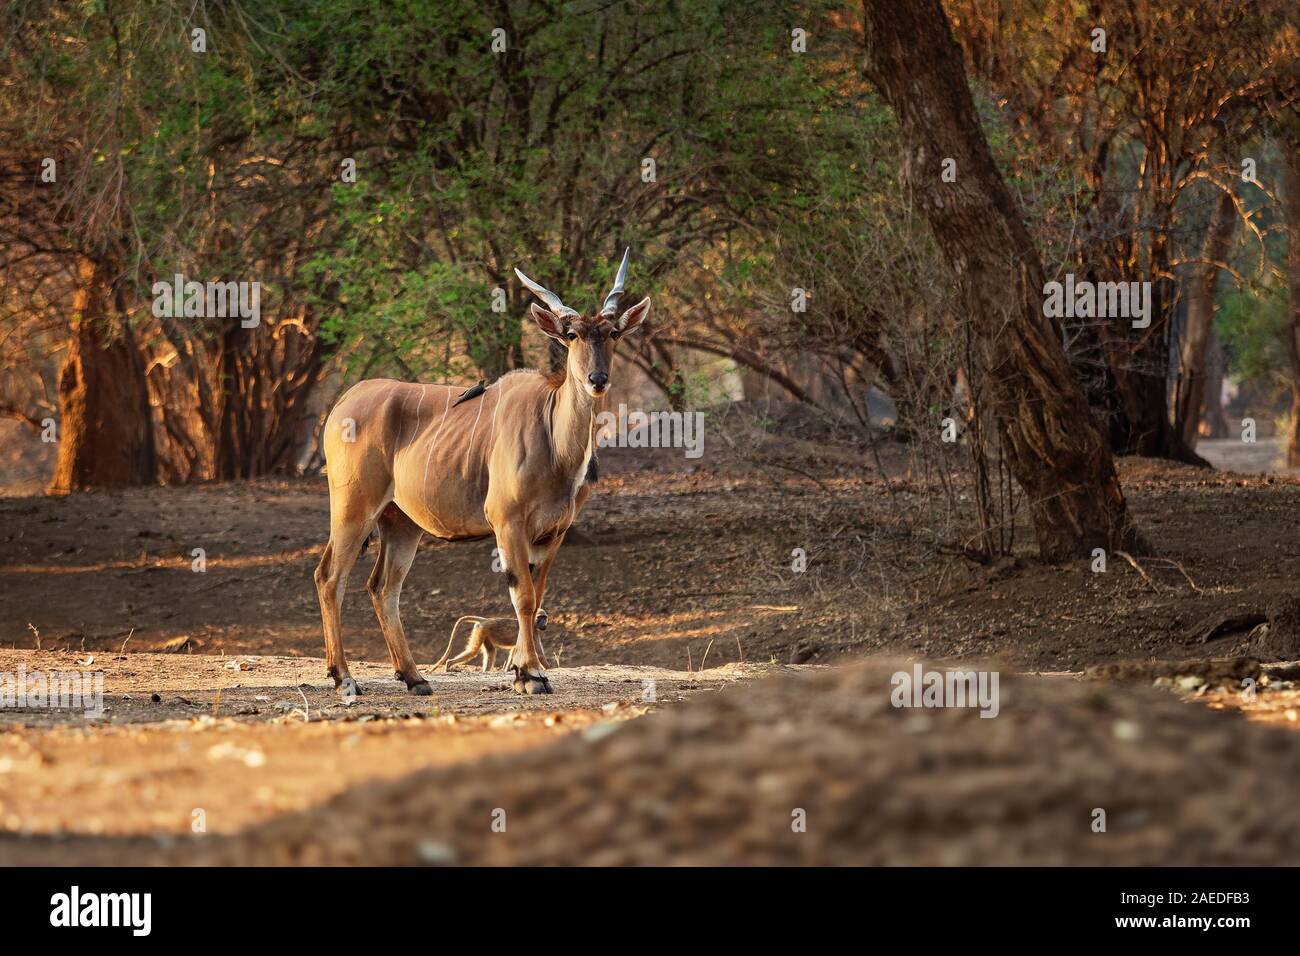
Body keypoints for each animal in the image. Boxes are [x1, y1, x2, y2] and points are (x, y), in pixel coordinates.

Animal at [314, 249, 648, 697]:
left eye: (612, 333)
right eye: (572, 334)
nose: (598, 379)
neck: (554, 437)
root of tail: (343, 403)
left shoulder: (553, 533)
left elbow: (537, 595)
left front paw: (527, 670)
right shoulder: (507, 521)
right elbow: (523, 596)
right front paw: (531, 675)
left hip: (401, 522)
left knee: (383, 588)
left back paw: (414, 677)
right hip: (354, 508)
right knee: (330, 577)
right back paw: (344, 678)